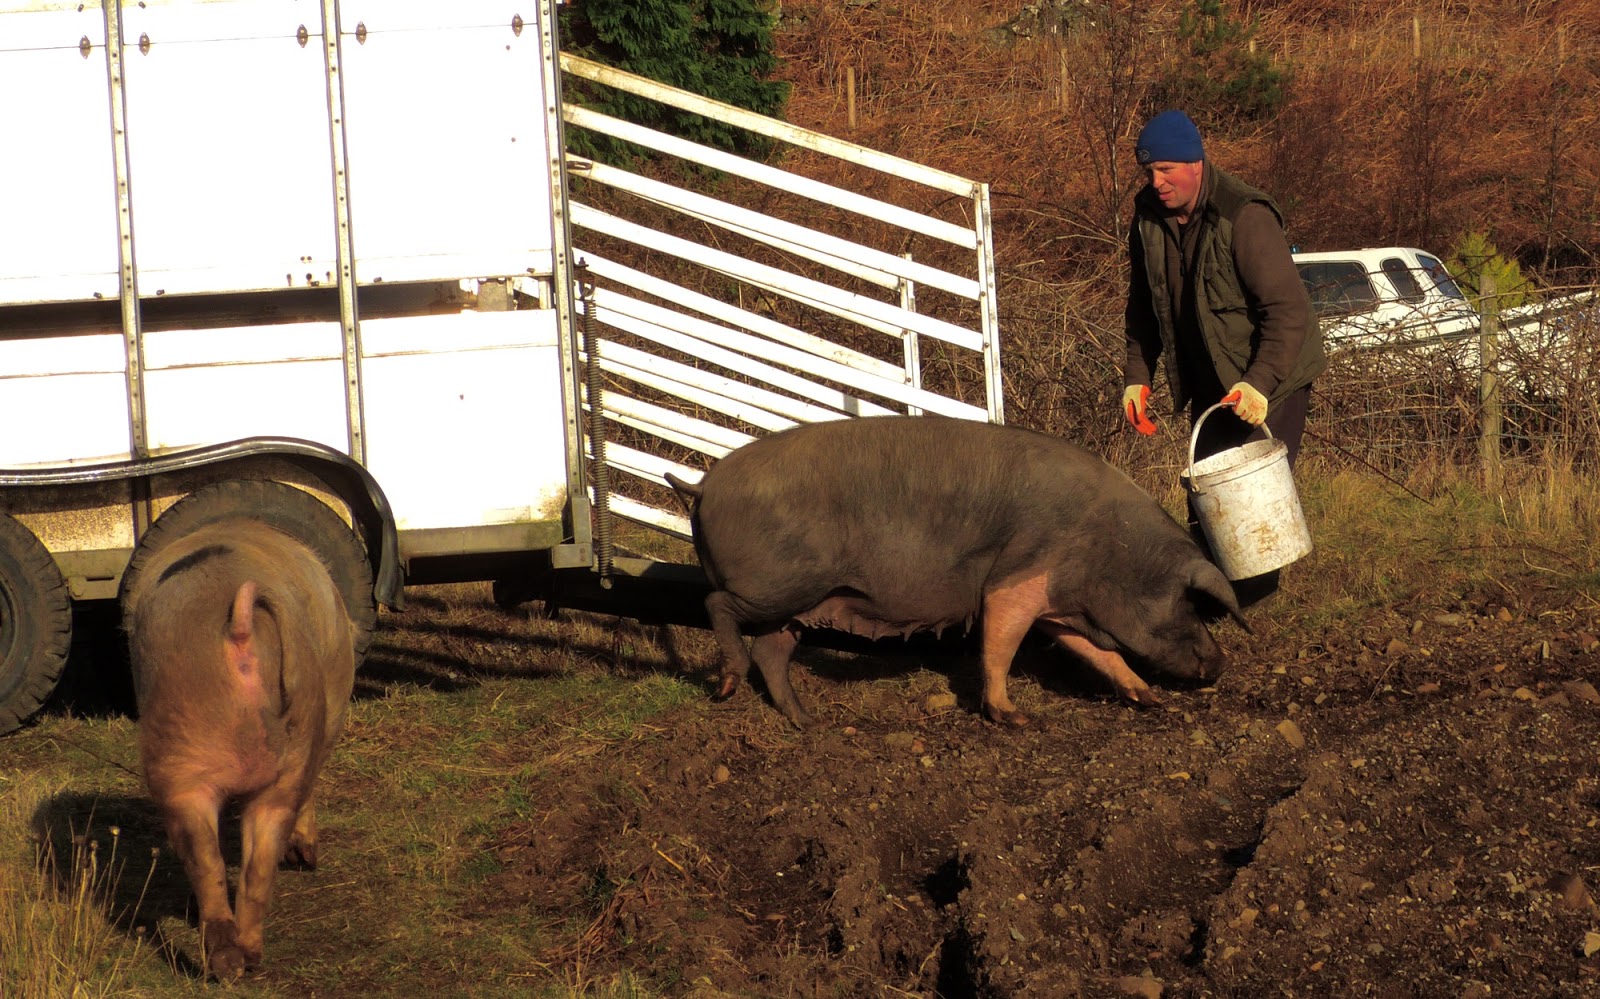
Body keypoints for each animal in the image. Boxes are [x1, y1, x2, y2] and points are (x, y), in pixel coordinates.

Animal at [123, 518, 356, 979]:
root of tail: (240, 631)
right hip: (292, 729)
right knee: (254, 853)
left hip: (181, 746)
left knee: (219, 861)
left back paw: (233, 964)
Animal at [666, 415, 1248, 728]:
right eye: (1188, 603)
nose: (1221, 663)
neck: (1108, 549)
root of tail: (704, 484)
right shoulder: (1017, 578)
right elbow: (999, 643)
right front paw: (1016, 719)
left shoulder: (1055, 603)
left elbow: (1097, 652)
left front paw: (1148, 699)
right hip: (779, 585)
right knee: (716, 605)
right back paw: (726, 687)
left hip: (796, 602)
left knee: (771, 650)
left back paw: (812, 722)